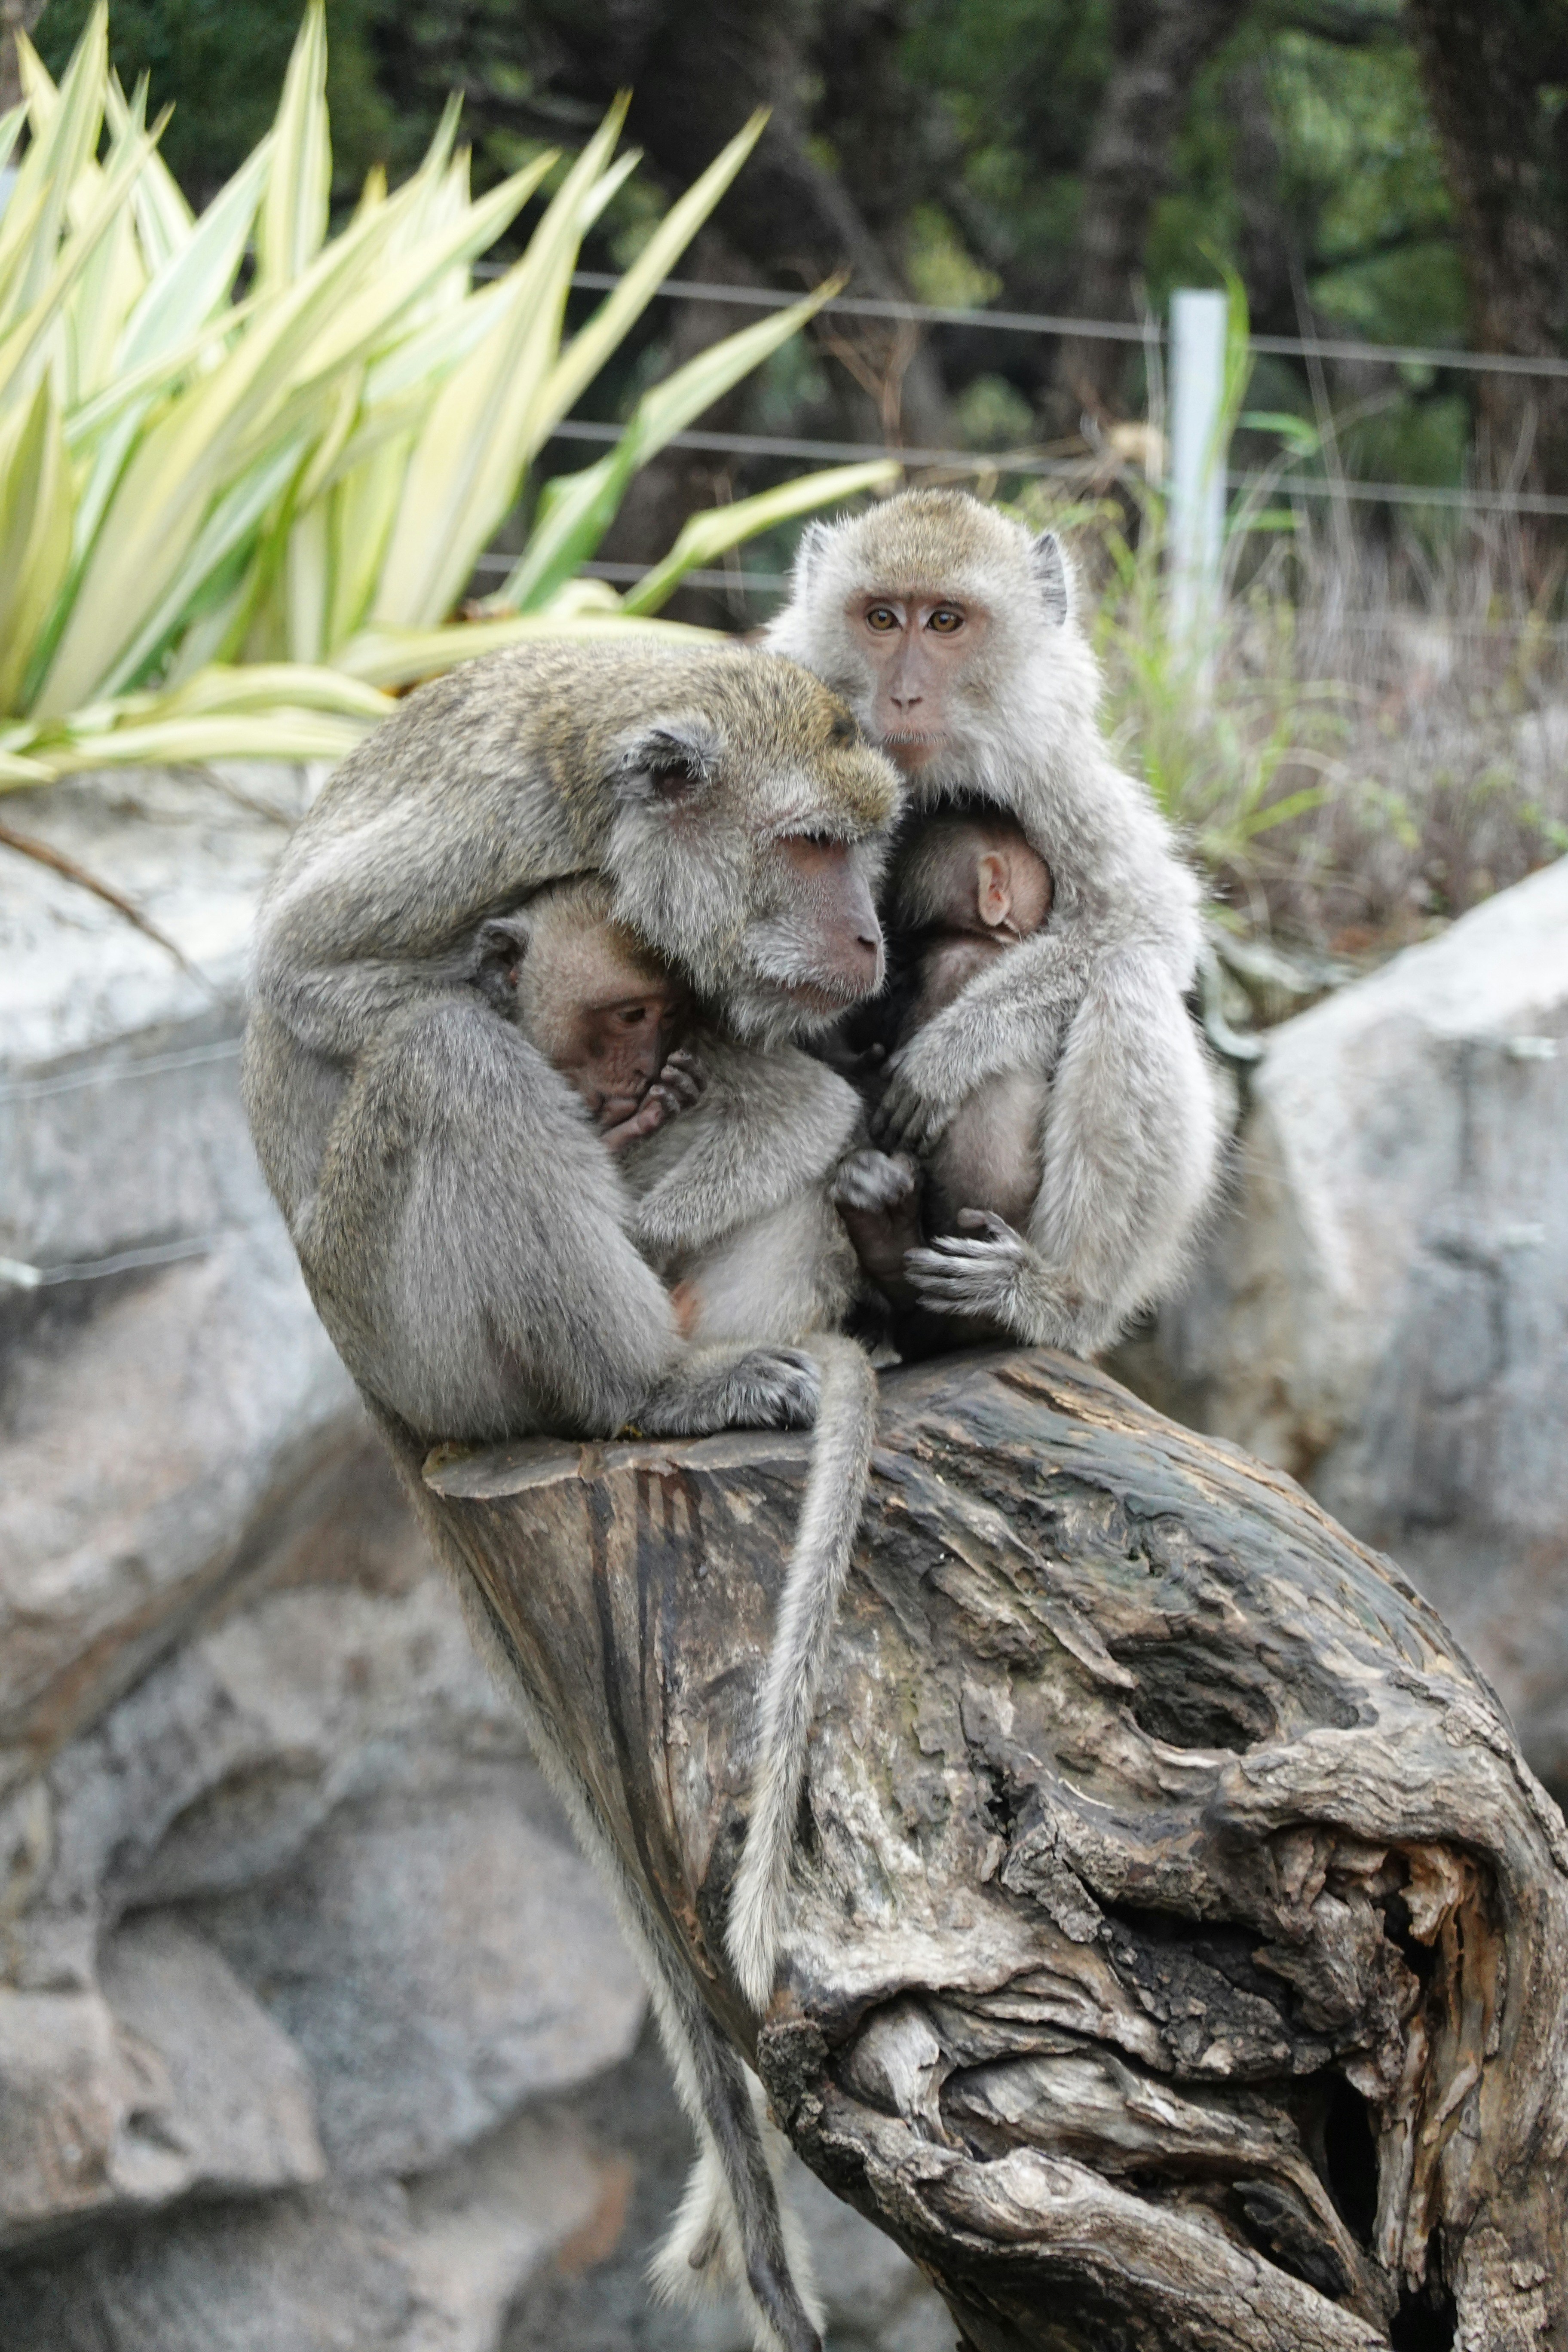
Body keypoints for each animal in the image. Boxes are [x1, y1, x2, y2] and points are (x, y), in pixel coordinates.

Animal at [242, 644, 900, 2352]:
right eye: (811, 847)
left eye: (865, 851)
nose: (872, 937)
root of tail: (382, 1391)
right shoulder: (487, 832)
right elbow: (312, 977)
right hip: (409, 1314)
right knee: (444, 1061)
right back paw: (647, 1388)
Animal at [767, 487, 1222, 1356]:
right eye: (882, 619)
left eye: (945, 622)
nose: (904, 697)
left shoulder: (1051, 761)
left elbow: (1142, 920)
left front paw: (950, 1052)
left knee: (1128, 979)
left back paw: (1050, 1298)